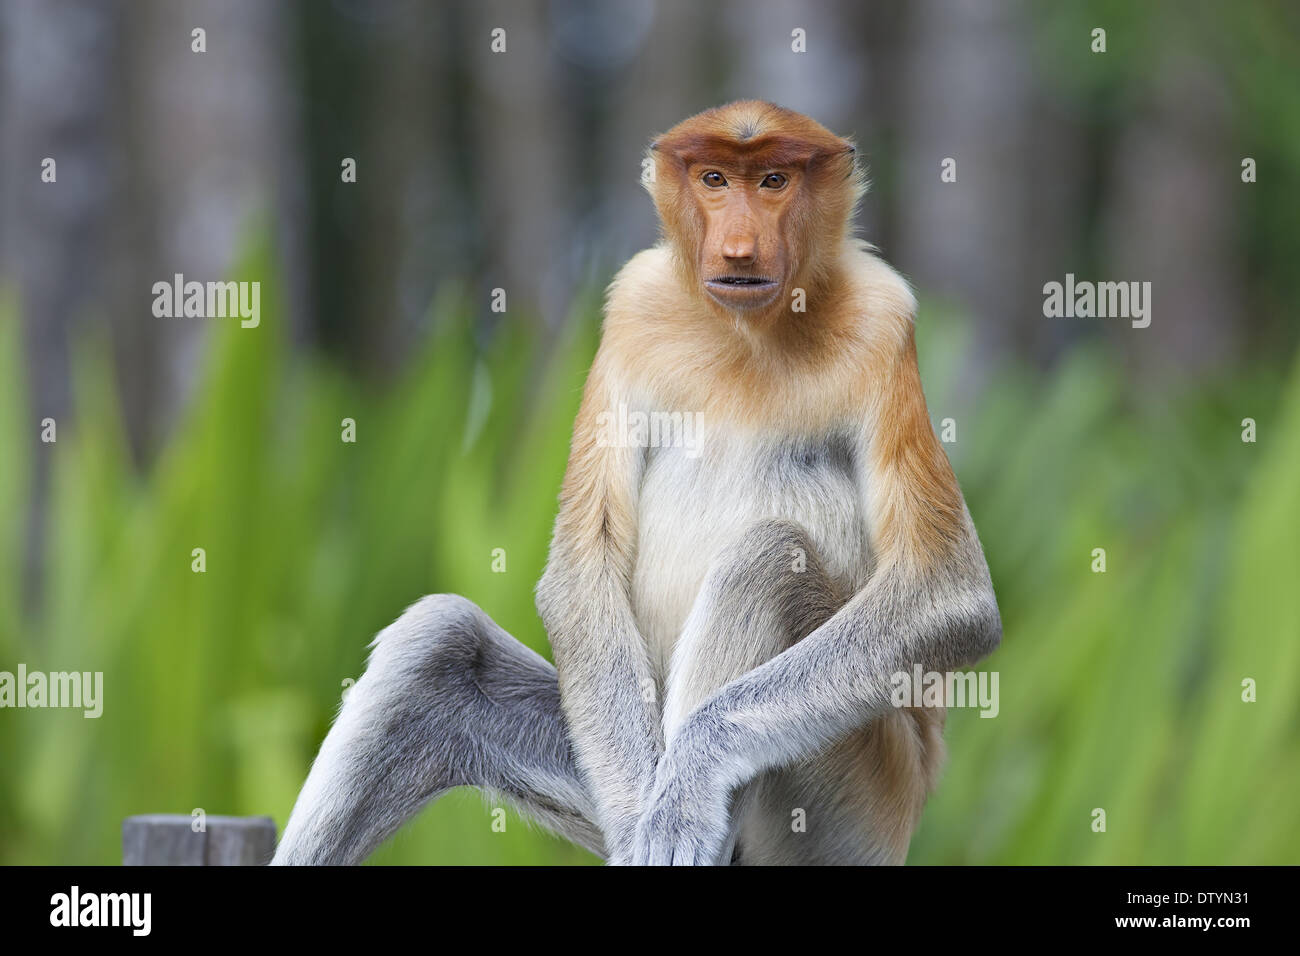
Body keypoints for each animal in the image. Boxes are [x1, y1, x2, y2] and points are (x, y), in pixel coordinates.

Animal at [272, 101, 1001, 866]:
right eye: (714, 179)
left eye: (774, 181)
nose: (738, 250)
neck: (747, 335)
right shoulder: (633, 309)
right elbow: (581, 566)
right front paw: (641, 821)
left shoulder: (884, 320)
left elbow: (951, 595)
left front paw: (686, 786)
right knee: (440, 646)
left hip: (862, 796)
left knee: (768, 559)